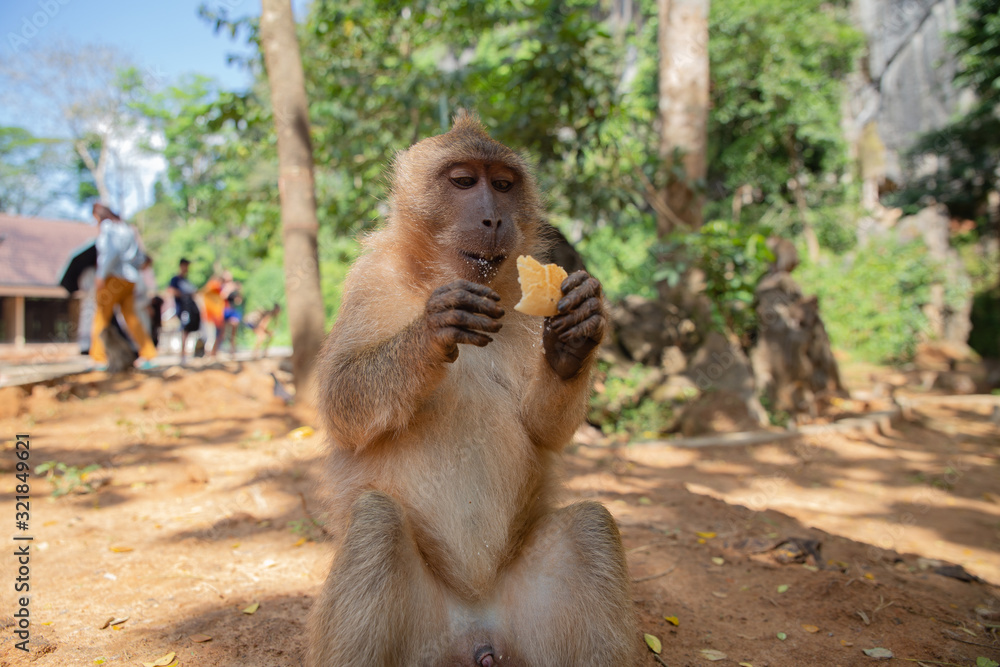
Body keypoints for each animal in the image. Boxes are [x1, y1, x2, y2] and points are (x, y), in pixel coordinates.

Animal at [307, 113, 637, 667]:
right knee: (375, 525)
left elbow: (542, 430)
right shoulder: (368, 281)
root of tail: (477, 623)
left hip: (527, 614)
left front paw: (574, 337)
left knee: (590, 527)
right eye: (463, 181)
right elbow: (342, 406)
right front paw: (433, 330)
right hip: (423, 635)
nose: (492, 218)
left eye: (502, 185)